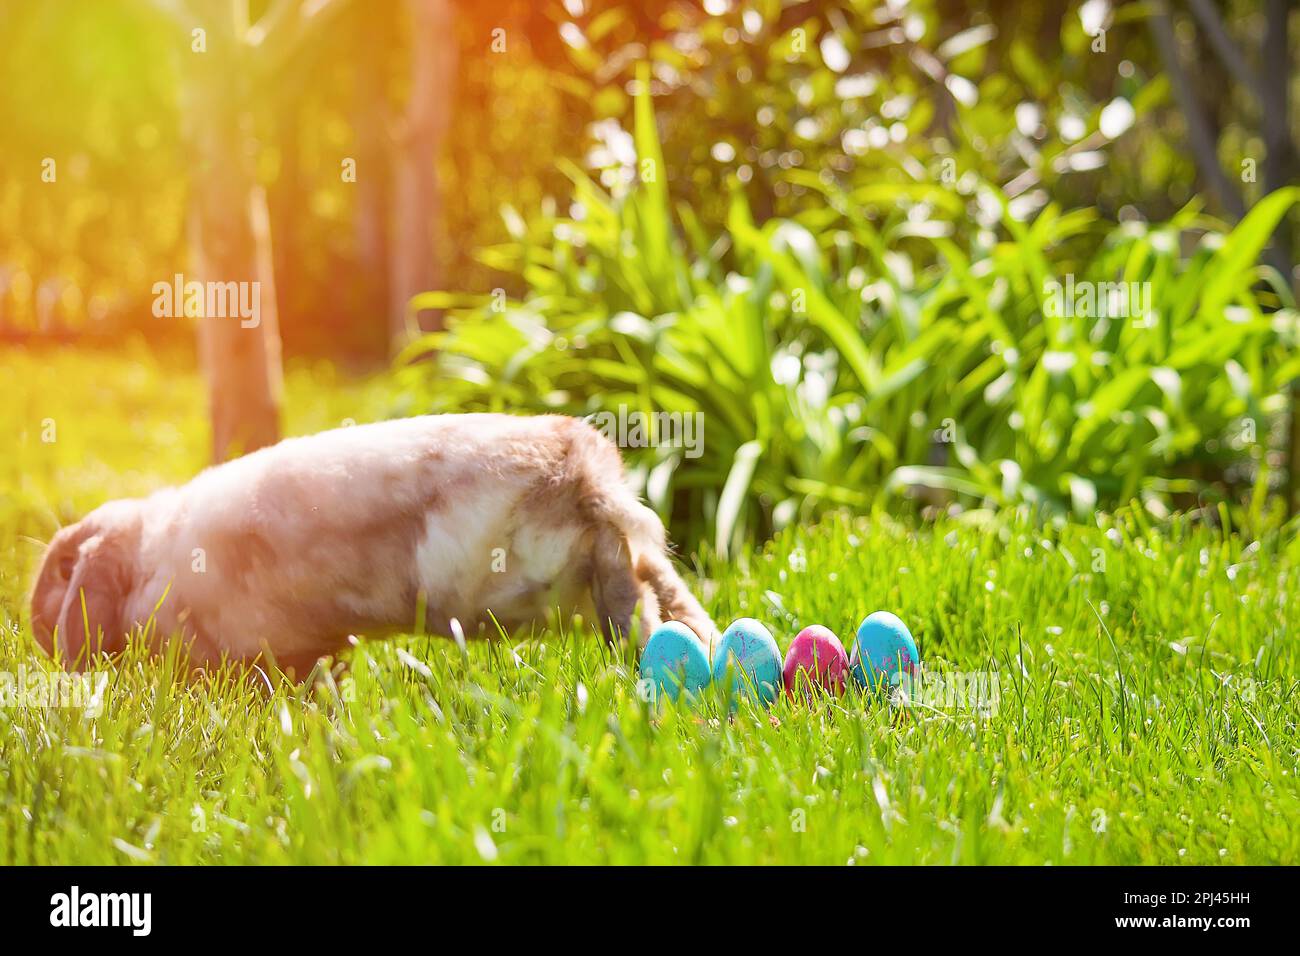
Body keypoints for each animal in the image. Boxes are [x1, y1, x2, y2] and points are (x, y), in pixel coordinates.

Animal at [29, 414, 715, 676]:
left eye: (62, 569)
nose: (38, 630)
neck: (147, 561)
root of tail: (584, 471)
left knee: (629, 590)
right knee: (662, 588)